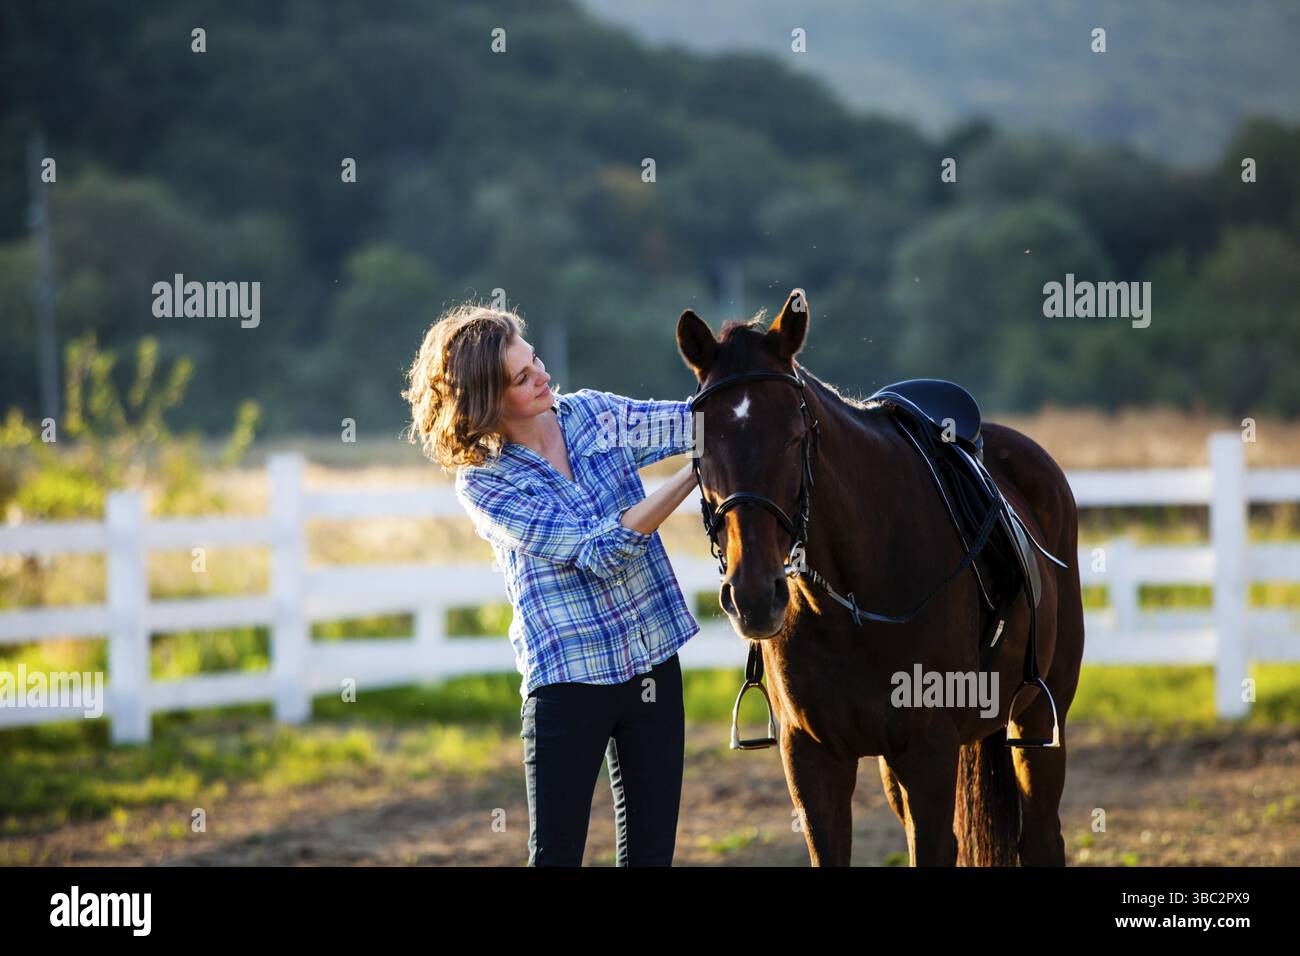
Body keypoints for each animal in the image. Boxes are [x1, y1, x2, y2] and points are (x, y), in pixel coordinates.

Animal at [675, 288, 1085, 866]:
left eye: (795, 436)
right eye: (701, 444)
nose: (754, 596)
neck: (849, 605)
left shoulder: (929, 751)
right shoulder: (812, 759)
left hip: (1039, 721)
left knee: (1043, 837)